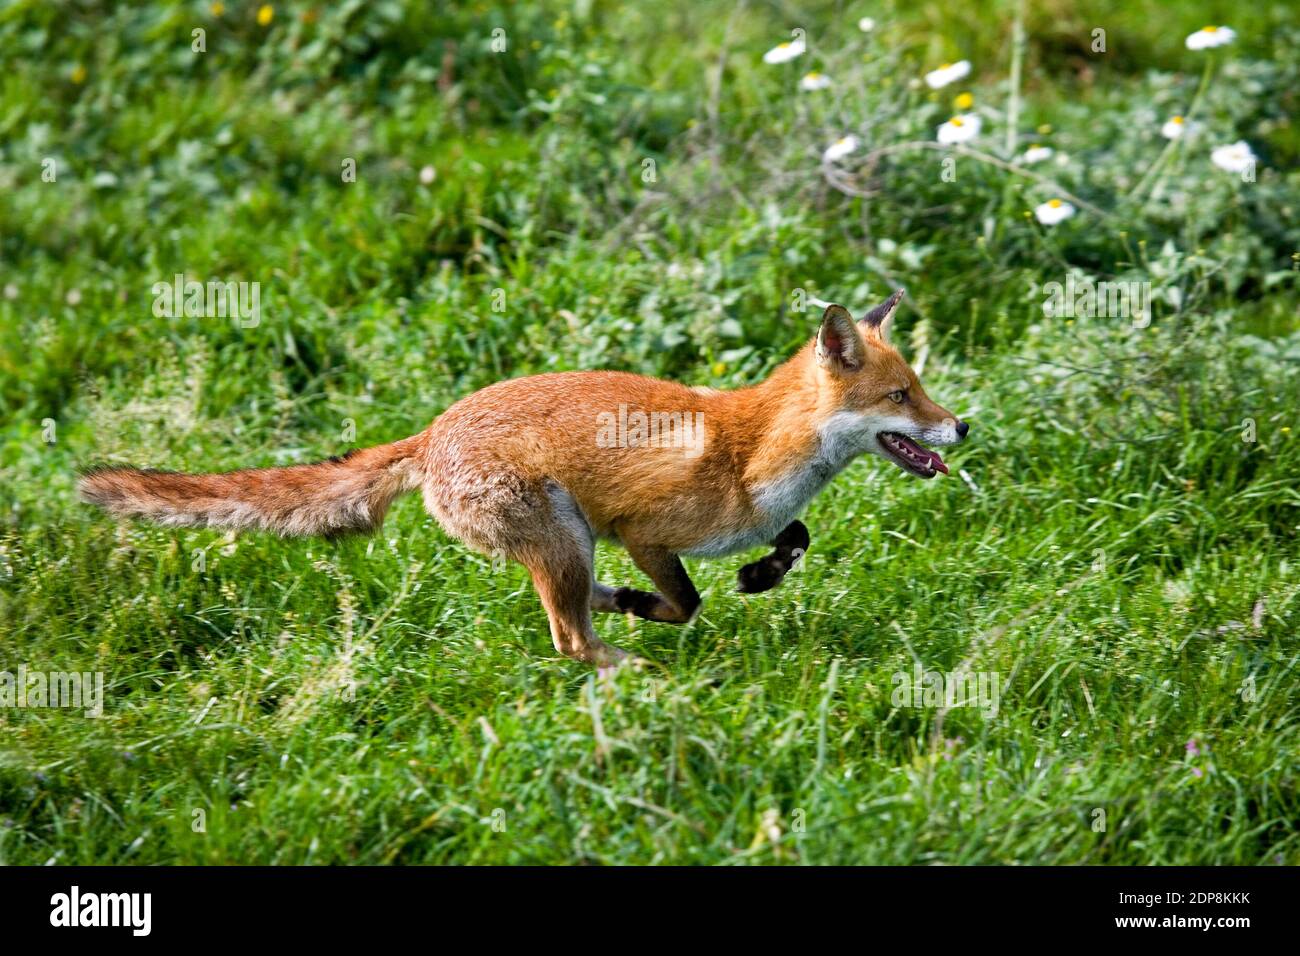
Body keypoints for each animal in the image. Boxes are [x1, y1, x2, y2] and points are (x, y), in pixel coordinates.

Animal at [80, 290, 968, 665]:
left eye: (920, 387)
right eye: (899, 397)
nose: (963, 427)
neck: (753, 450)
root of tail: (432, 430)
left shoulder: (743, 521)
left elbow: (795, 535)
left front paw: (761, 574)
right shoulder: (642, 530)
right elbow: (686, 601)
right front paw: (667, 606)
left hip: (563, 544)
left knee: (568, 614)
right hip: (566, 533)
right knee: (569, 637)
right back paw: (634, 672)